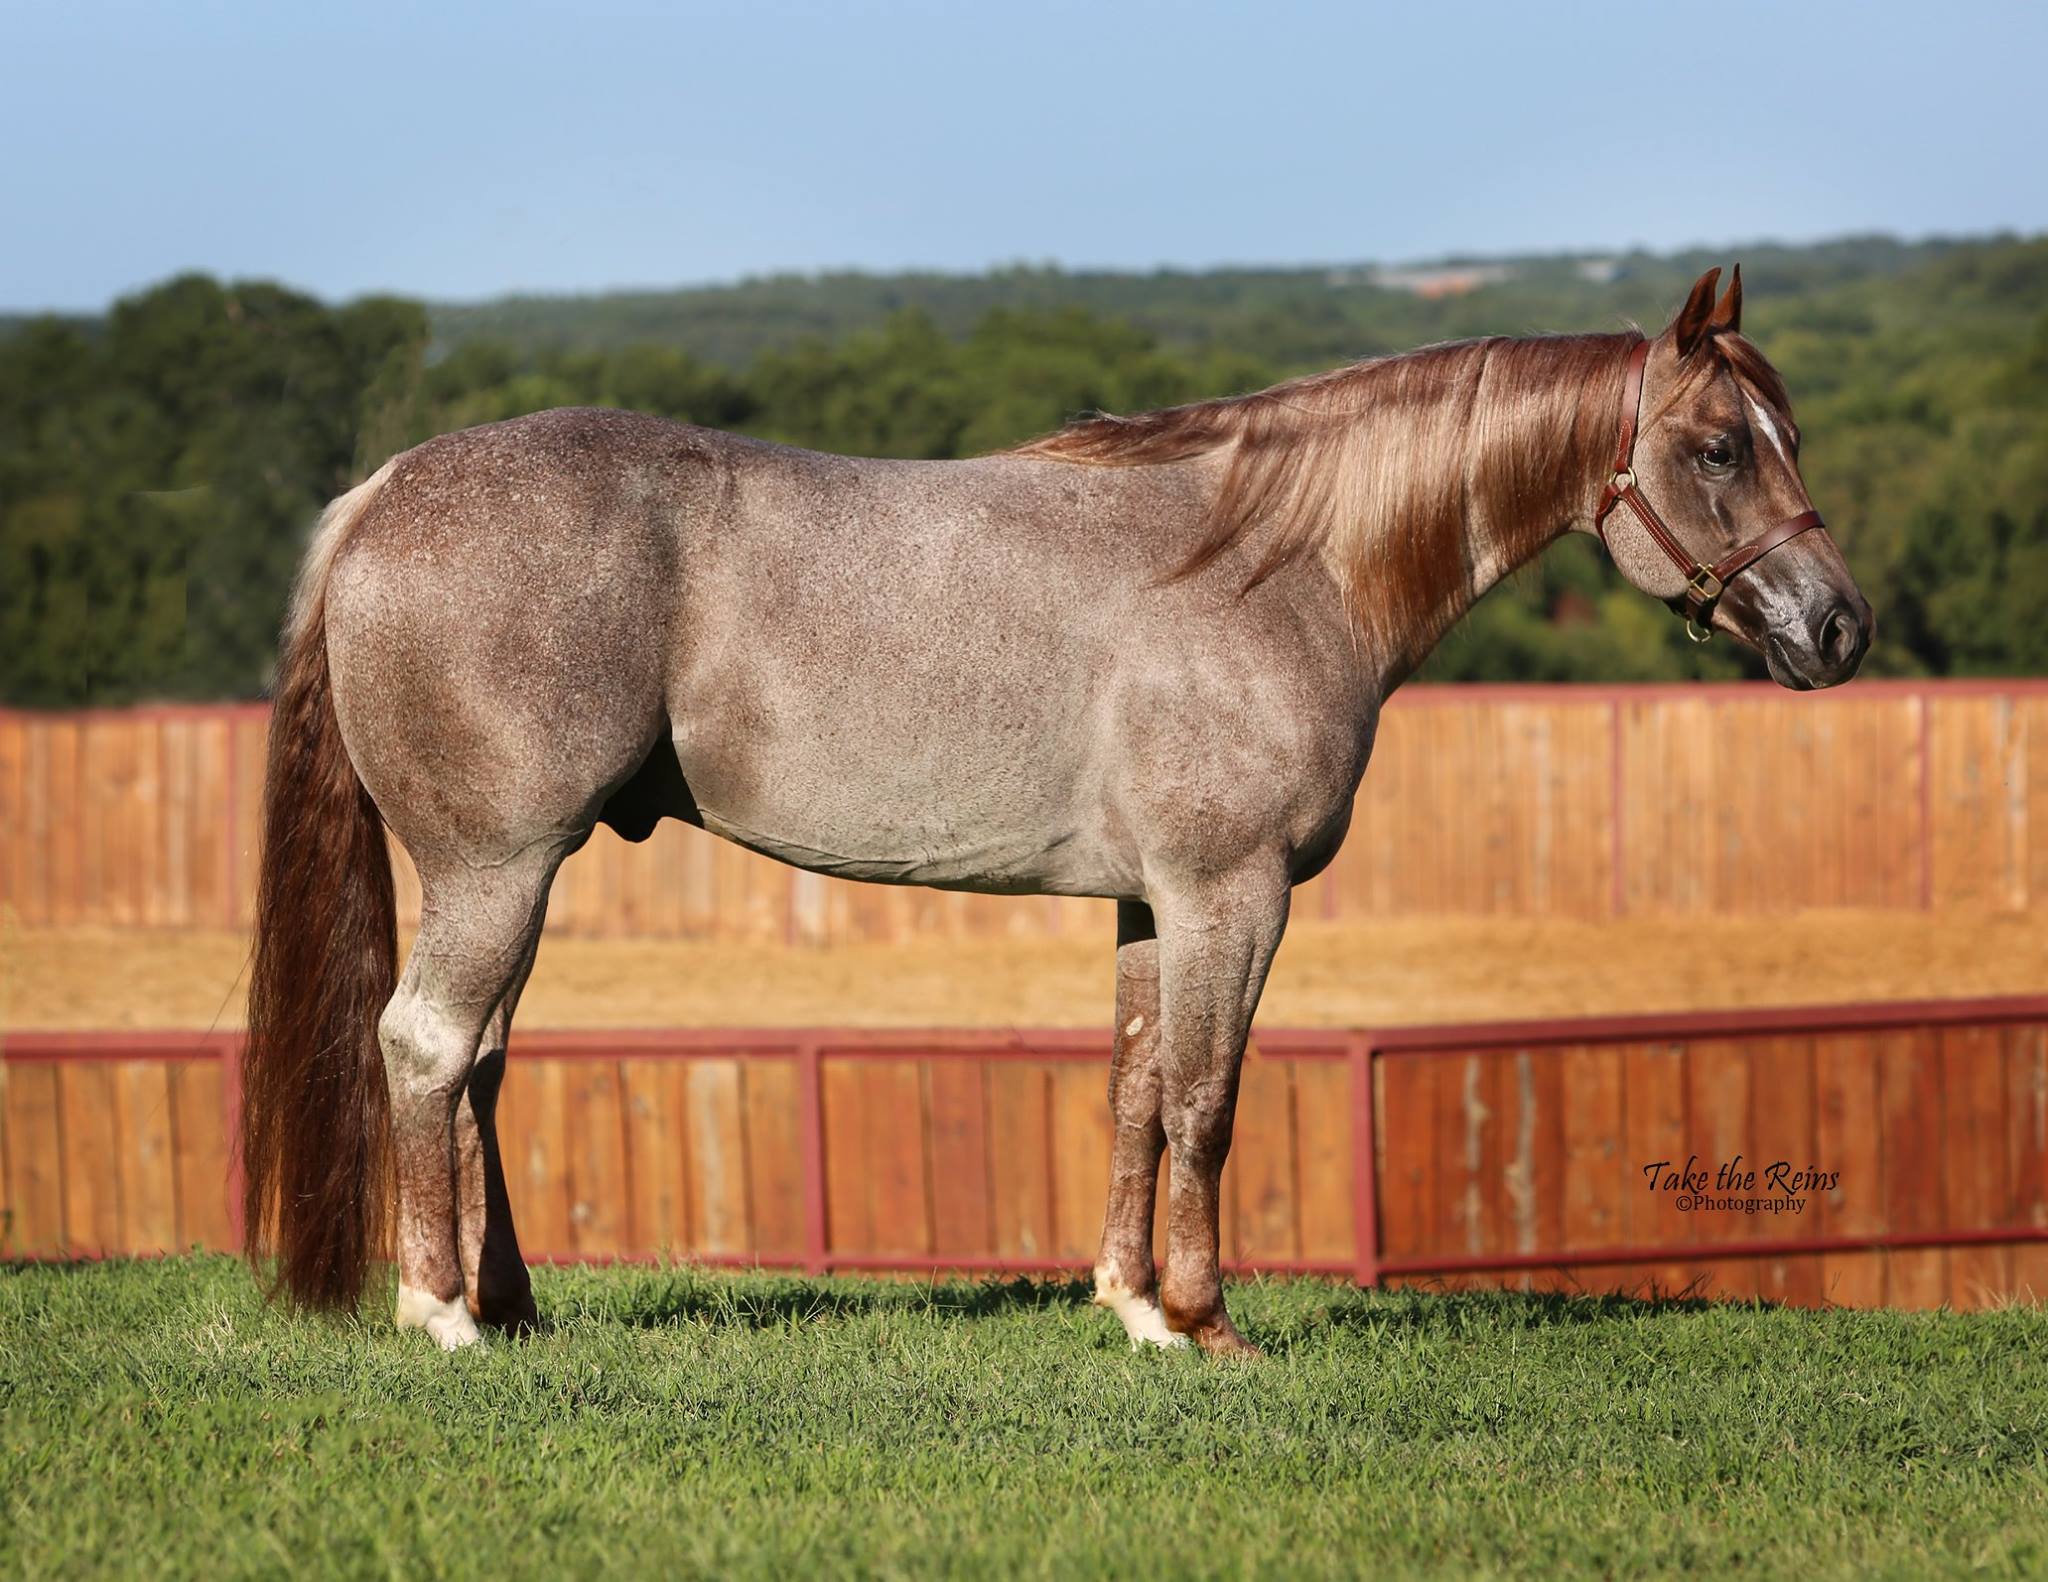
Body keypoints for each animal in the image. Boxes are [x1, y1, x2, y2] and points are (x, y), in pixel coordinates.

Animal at [239, 265, 1871, 1354]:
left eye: (1785, 434)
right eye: (1720, 446)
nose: (1837, 626)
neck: (1274, 566)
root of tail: (383, 495)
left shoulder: (1152, 900)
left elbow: (1137, 1088)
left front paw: (1134, 1307)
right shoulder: (1231, 891)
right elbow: (1210, 1097)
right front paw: (1209, 1322)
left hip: (509, 876)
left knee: (480, 1067)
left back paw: (508, 1306)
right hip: (495, 866)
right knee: (426, 1046)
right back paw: (440, 1314)